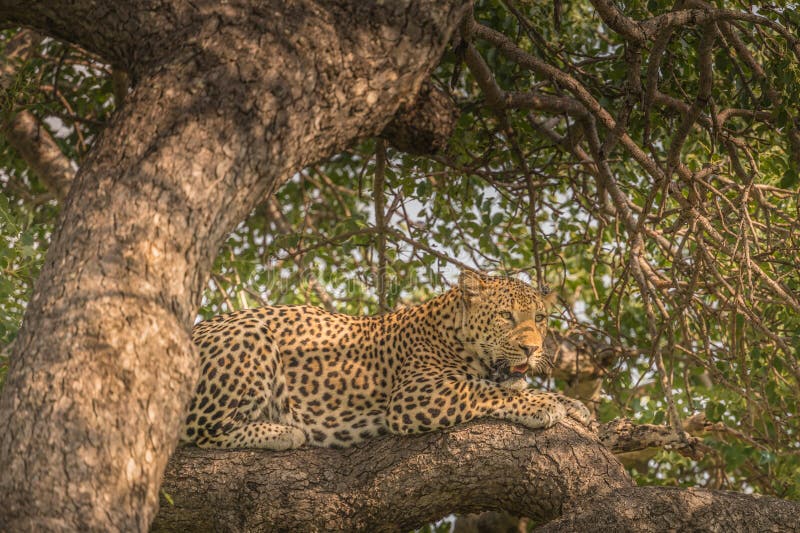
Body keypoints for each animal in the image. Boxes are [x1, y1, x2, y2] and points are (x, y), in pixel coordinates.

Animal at [180, 270, 591, 449]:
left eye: (540, 318)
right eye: (506, 316)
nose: (532, 349)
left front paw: (575, 405)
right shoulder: (416, 395)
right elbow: (488, 390)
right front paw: (542, 404)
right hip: (251, 334)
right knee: (201, 431)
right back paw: (283, 432)